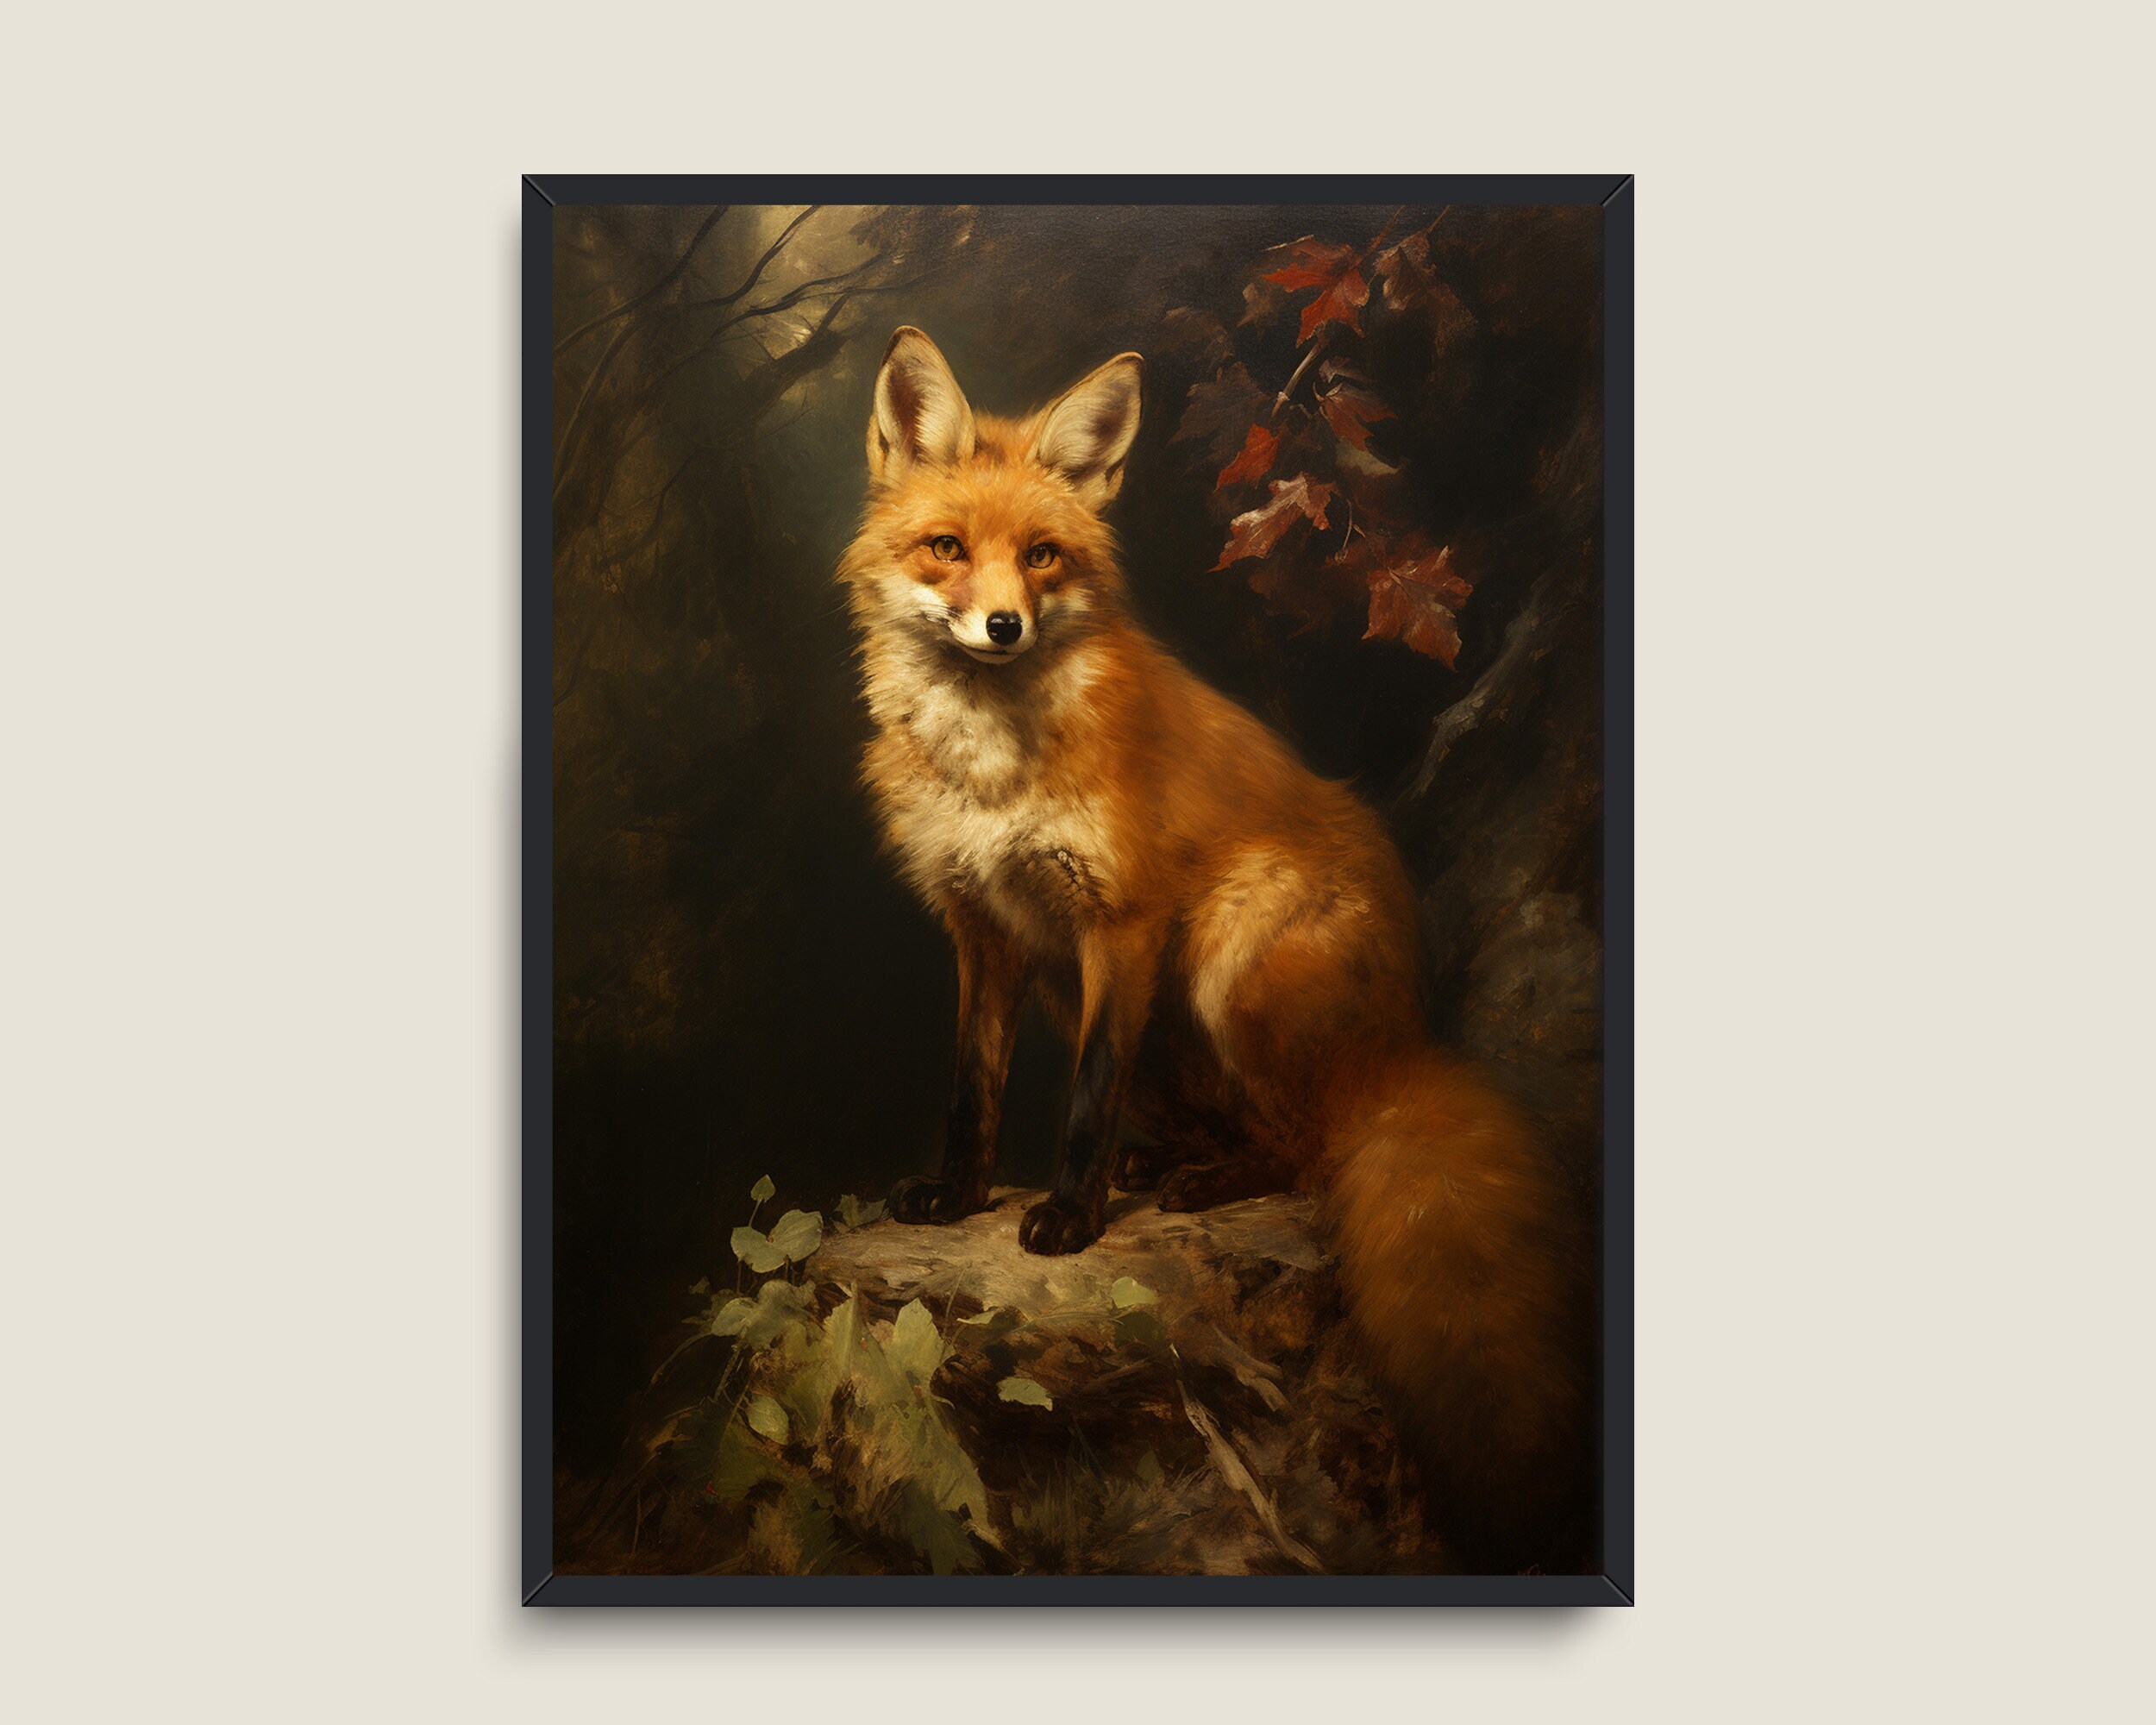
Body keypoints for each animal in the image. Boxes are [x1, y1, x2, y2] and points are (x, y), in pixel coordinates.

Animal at [839, 327, 1593, 1572]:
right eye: (947, 549)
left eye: (1042, 557)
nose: (1003, 627)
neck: (993, 764)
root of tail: (1404, 1042)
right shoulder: (986, 928)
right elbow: (972, 1088)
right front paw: (961, 1195)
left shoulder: (1120, 919)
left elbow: (1083, 1102)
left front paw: (1069, 1218)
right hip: (1107, 998)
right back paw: (1171, 1163)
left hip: (1224, 963)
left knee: (1310, 1150)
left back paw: (1202, 1180)